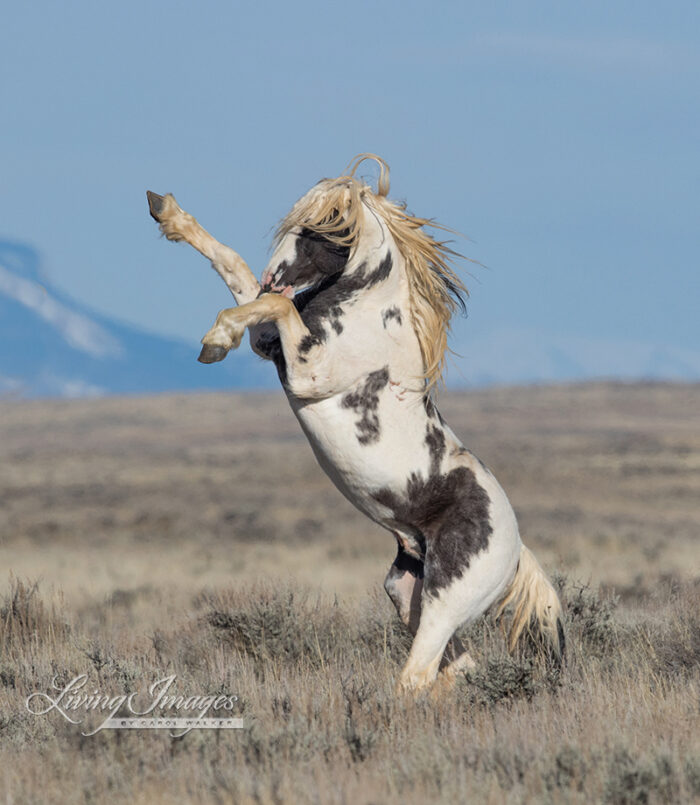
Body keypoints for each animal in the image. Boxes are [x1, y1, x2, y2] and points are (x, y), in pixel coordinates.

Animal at [146, 154, 564, 692]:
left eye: (322, 230)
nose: (274, 274)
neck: (368, 315)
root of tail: (515, 549)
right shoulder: (269, 342)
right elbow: (235, 269)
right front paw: (170, 217)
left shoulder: (307, 370)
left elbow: (271, 302)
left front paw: (215, 340)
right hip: (406, 592)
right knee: (454, 670)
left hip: (445, 600)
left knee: (416, 678)